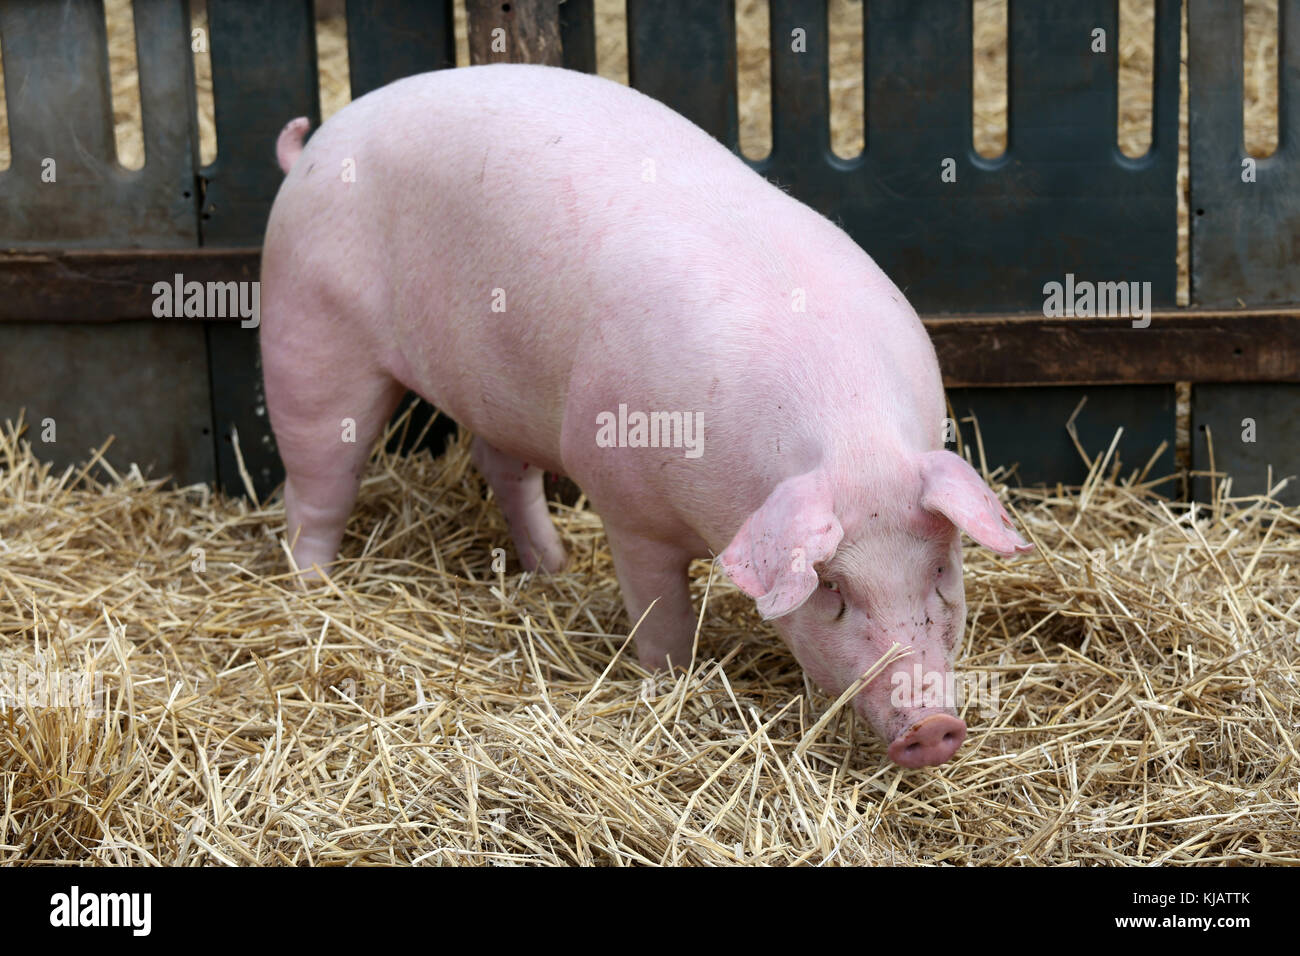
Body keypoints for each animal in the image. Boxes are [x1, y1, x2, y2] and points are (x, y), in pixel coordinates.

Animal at [260, 64, 1032, 768]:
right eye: (833, 588)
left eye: (941, 569)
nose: (932, 729)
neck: (849, 434)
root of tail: (316, 147)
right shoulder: (623, 500)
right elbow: (661, 616)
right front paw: (671, 682)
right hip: (310, 329)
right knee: (315, 485)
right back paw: (313, 590)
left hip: (493, 388)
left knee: (499, 466)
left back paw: (554, 569)